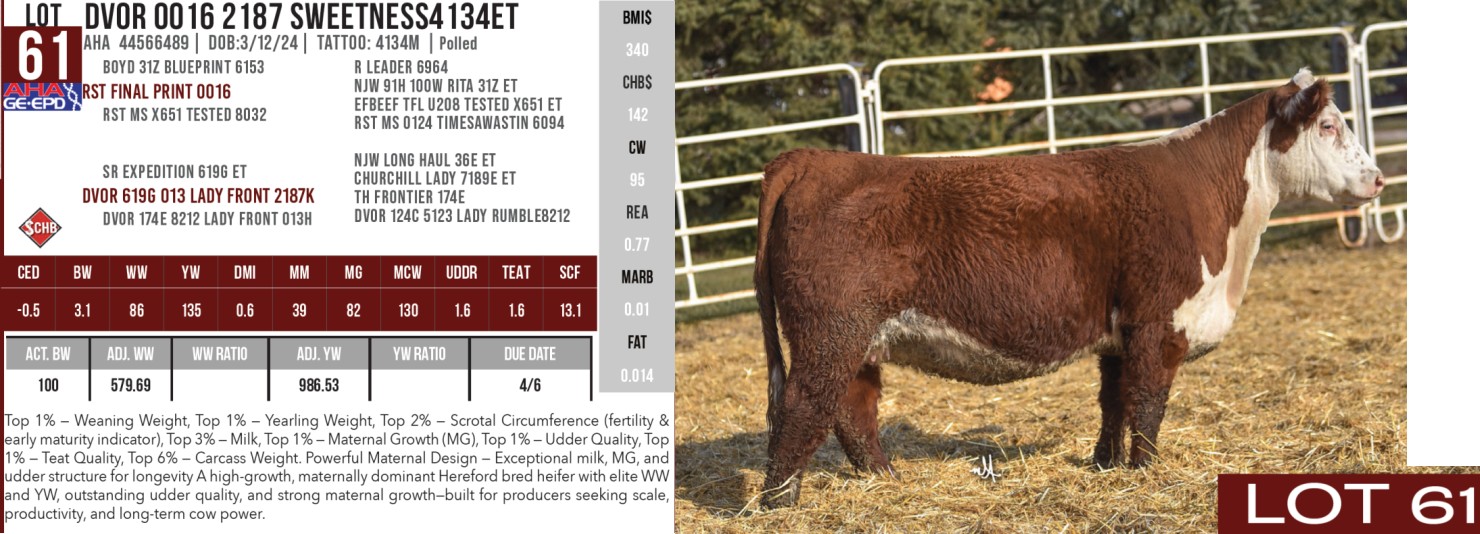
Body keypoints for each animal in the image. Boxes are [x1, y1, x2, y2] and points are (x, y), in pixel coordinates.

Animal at [753, 68, 1384, 507]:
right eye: (1328, 125)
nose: (1378, 178)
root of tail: (811, 158)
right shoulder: (1158, 324)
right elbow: (1148, 403)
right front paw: (1144, 472)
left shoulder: (1119, 333)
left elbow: (1114, 402)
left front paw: (1105, 464)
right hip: (830, 332)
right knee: (804, 407)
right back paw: (779, 504)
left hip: (857, 341)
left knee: (852, 409)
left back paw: (885, 479)